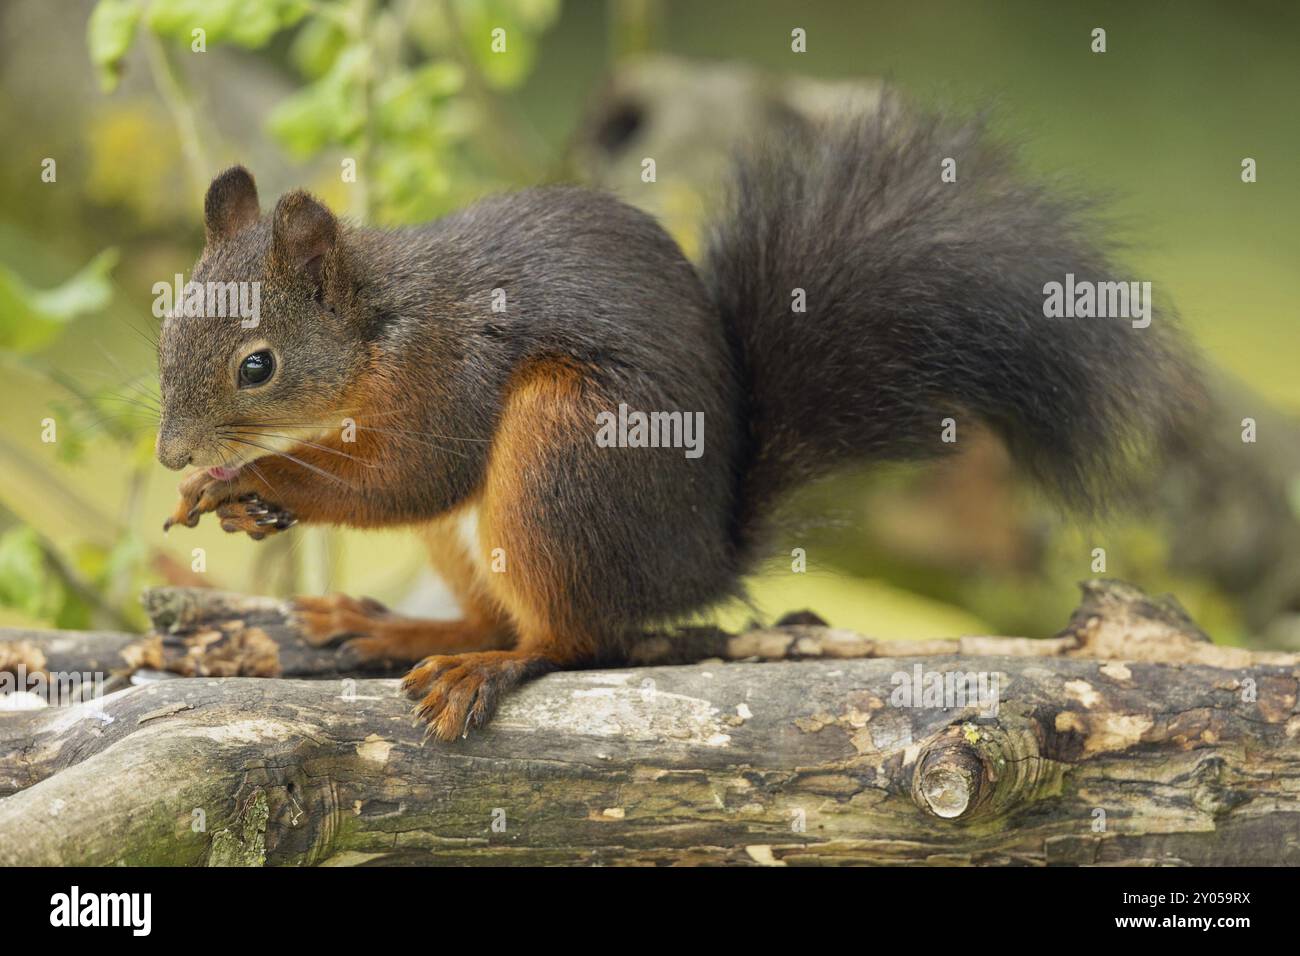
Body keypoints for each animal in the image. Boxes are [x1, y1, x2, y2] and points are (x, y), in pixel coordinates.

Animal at [156, 100, 1194, 741]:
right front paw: (230, 495)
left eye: (257, 366)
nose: (171, 452)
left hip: (559, 454)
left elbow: (408, 477)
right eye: (163, 328)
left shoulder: (449, 378)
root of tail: (696, 560)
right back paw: (400, 630)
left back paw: (483, 667)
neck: (380, 327)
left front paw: (254, 480)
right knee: (499, 609)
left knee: (574, 640)